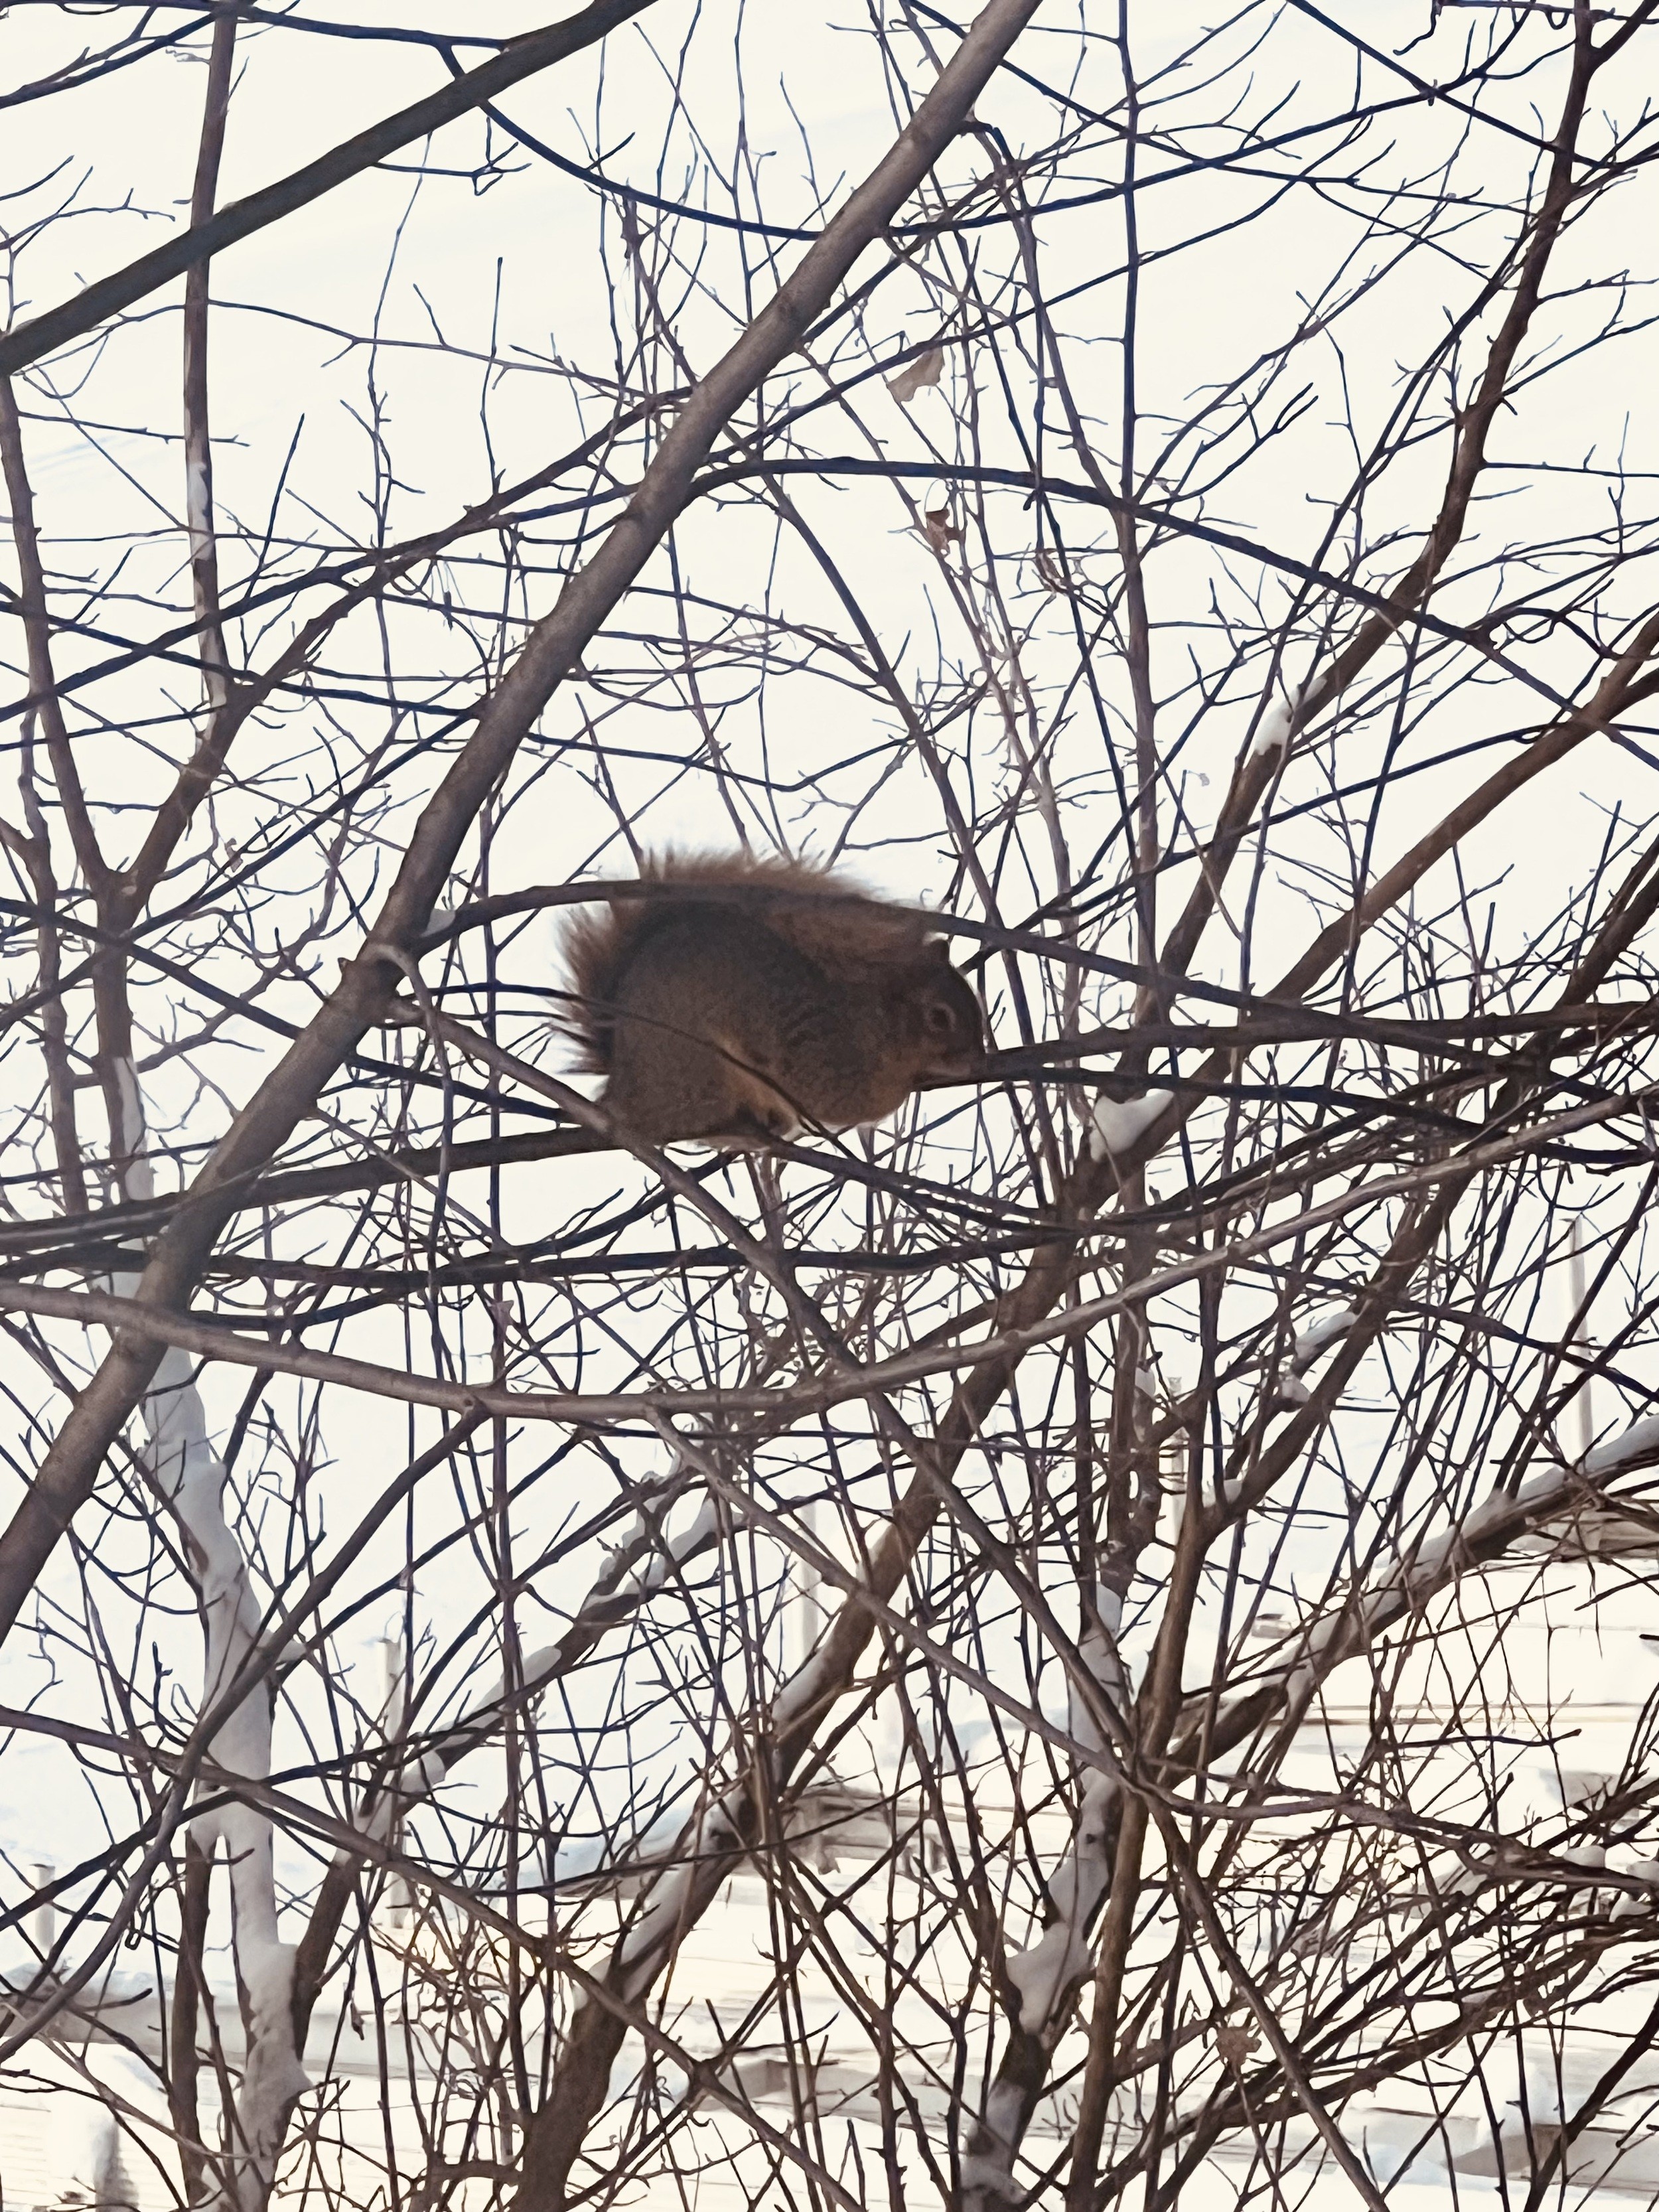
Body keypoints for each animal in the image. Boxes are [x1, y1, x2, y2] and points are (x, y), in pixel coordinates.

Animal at [560, 850, 984, 1146]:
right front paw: (903, 1089)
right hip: (696, 1071)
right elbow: (844, 1100)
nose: (976, 1060)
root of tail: (622, 1085)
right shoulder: (818, 1052)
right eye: (939, 1017)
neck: (871, 1017)